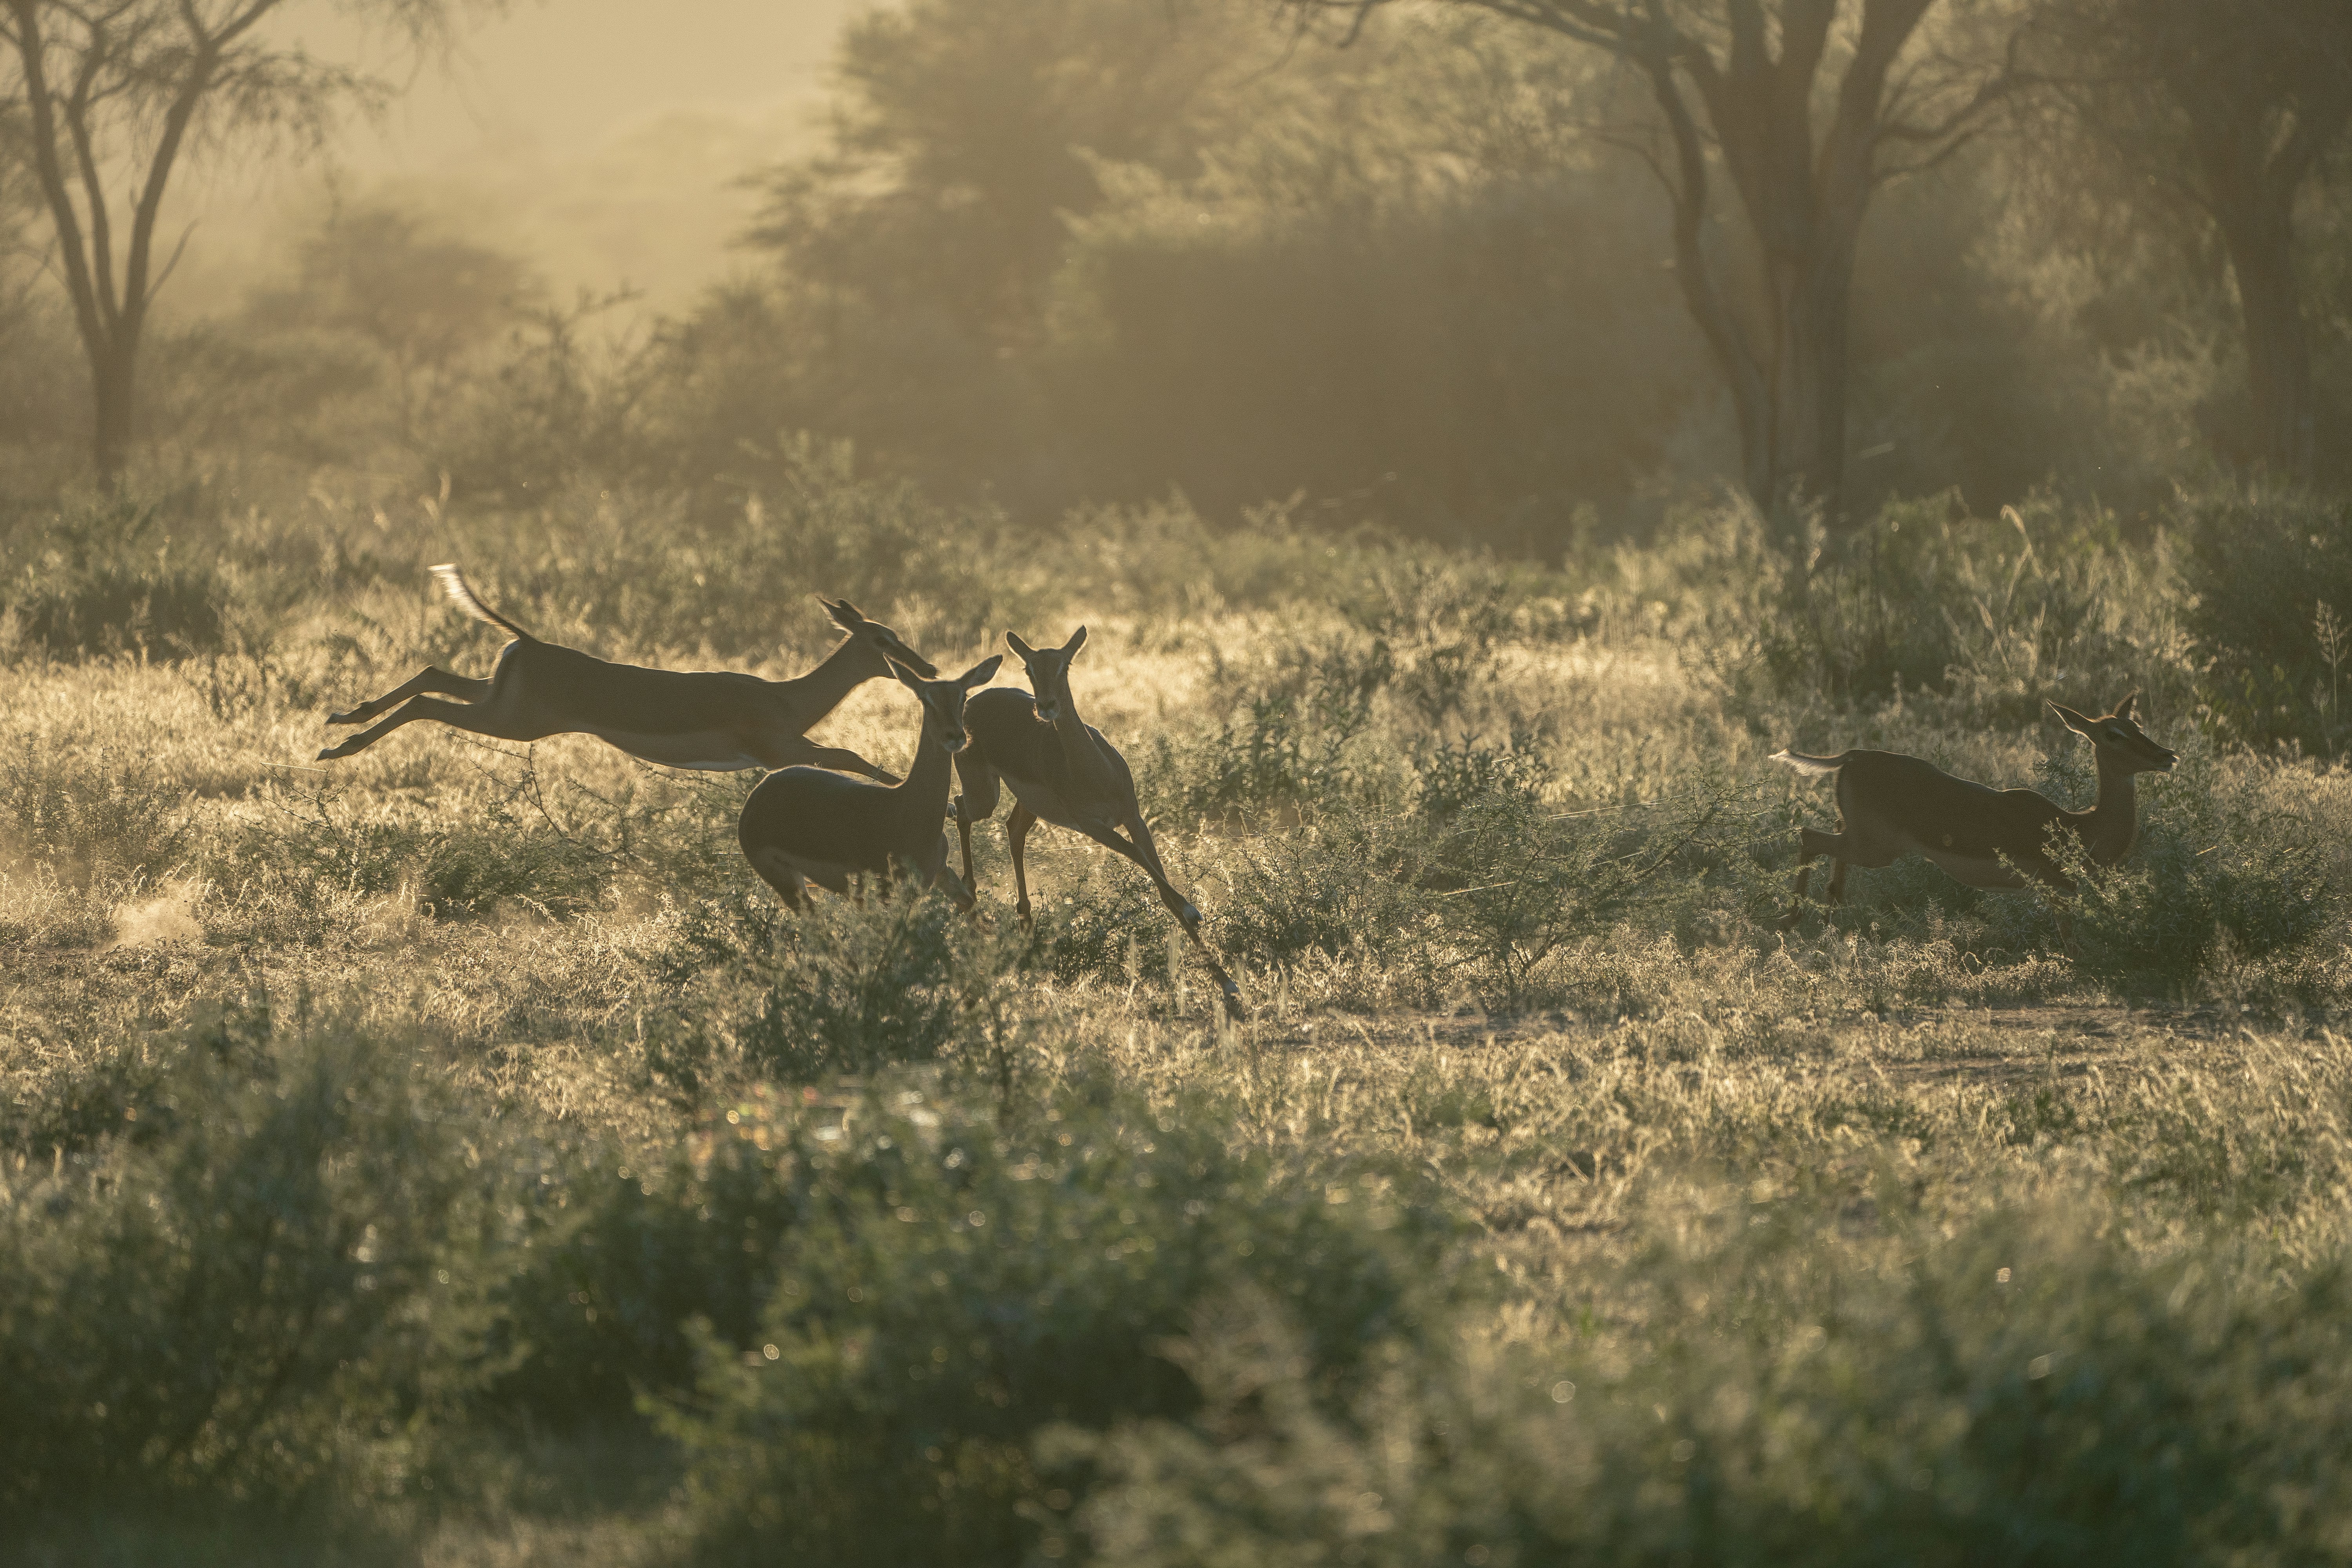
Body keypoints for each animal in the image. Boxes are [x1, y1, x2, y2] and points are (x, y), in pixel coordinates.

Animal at [318, 565, 934, 780]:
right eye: (883, 639)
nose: (926, 667)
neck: (787, 699)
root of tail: (530, 644)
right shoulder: (781, 752)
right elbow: (851, 757)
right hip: (513, 722)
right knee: (426, 702)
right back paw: (337, 748)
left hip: (495, 699)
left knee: (429, 675)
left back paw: (338, 723)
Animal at [736, 653, 1003, 910]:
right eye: (926, 700)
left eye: (963, 696)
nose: (955, 736)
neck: (908, 806)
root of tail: (759, 792)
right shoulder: (894, 895)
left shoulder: (941, 873)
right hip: (787, 882)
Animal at [953, 627, 1246, 1021]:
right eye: (1029, 668)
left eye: (1064, 665)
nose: (1046, 706)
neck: (1094, 771)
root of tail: (972, 703)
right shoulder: (1092, 826)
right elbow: (1139, 859)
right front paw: (1193, 910)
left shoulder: (1134, 817)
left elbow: (1158, 878)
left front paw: (1227, 982)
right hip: (985, 796)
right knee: (960, 810)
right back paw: (970, 897)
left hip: (1026, 805)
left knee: (1012, 831)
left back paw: (1024, 923)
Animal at [1770, 692, 2178, 928]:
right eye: (2113, 734)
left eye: (2136, 724)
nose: (2167, 756)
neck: (2084, 827)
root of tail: (1852, 757)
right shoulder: (2057, 892)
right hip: (1876, 849)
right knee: (1808, 836)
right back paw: (1791, 918)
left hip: (1860, 838)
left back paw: (1829, 917)